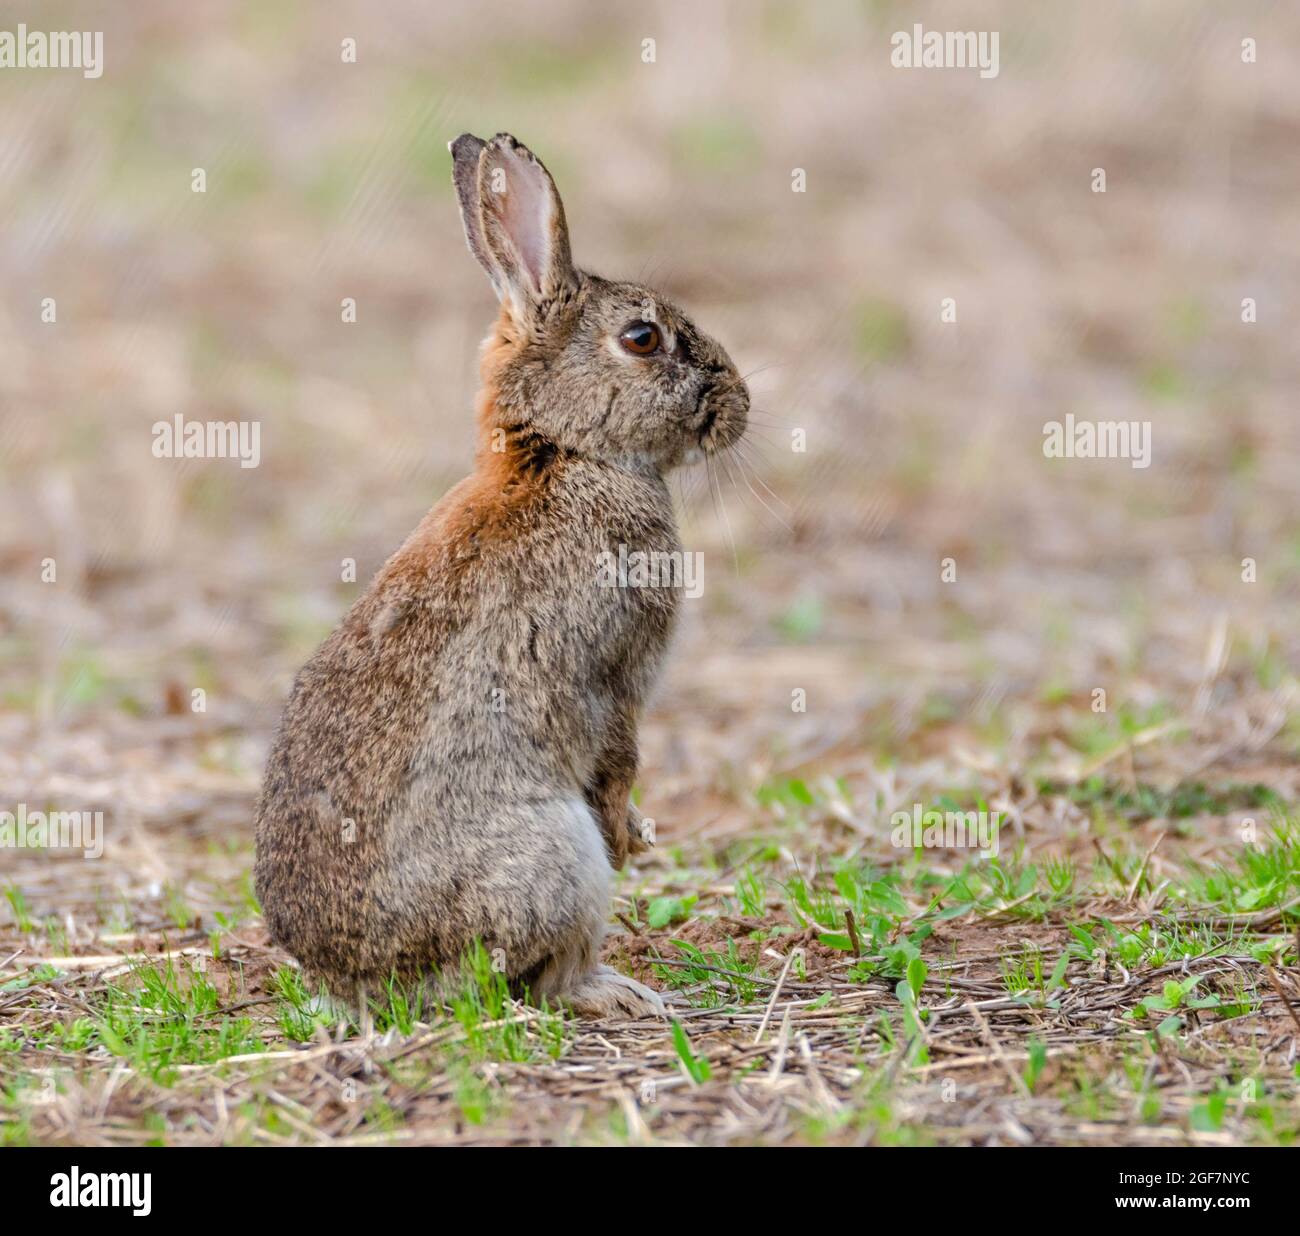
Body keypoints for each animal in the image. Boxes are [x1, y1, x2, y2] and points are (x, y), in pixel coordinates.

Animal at [250, 135, 754, 1018]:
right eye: (643, 338)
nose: (741, 407)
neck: (562, 453)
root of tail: (367, 981)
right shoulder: (616, 673)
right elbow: (616, 754)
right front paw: (635, 834)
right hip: (557, 856)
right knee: (542, 971)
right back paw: (620, 992)